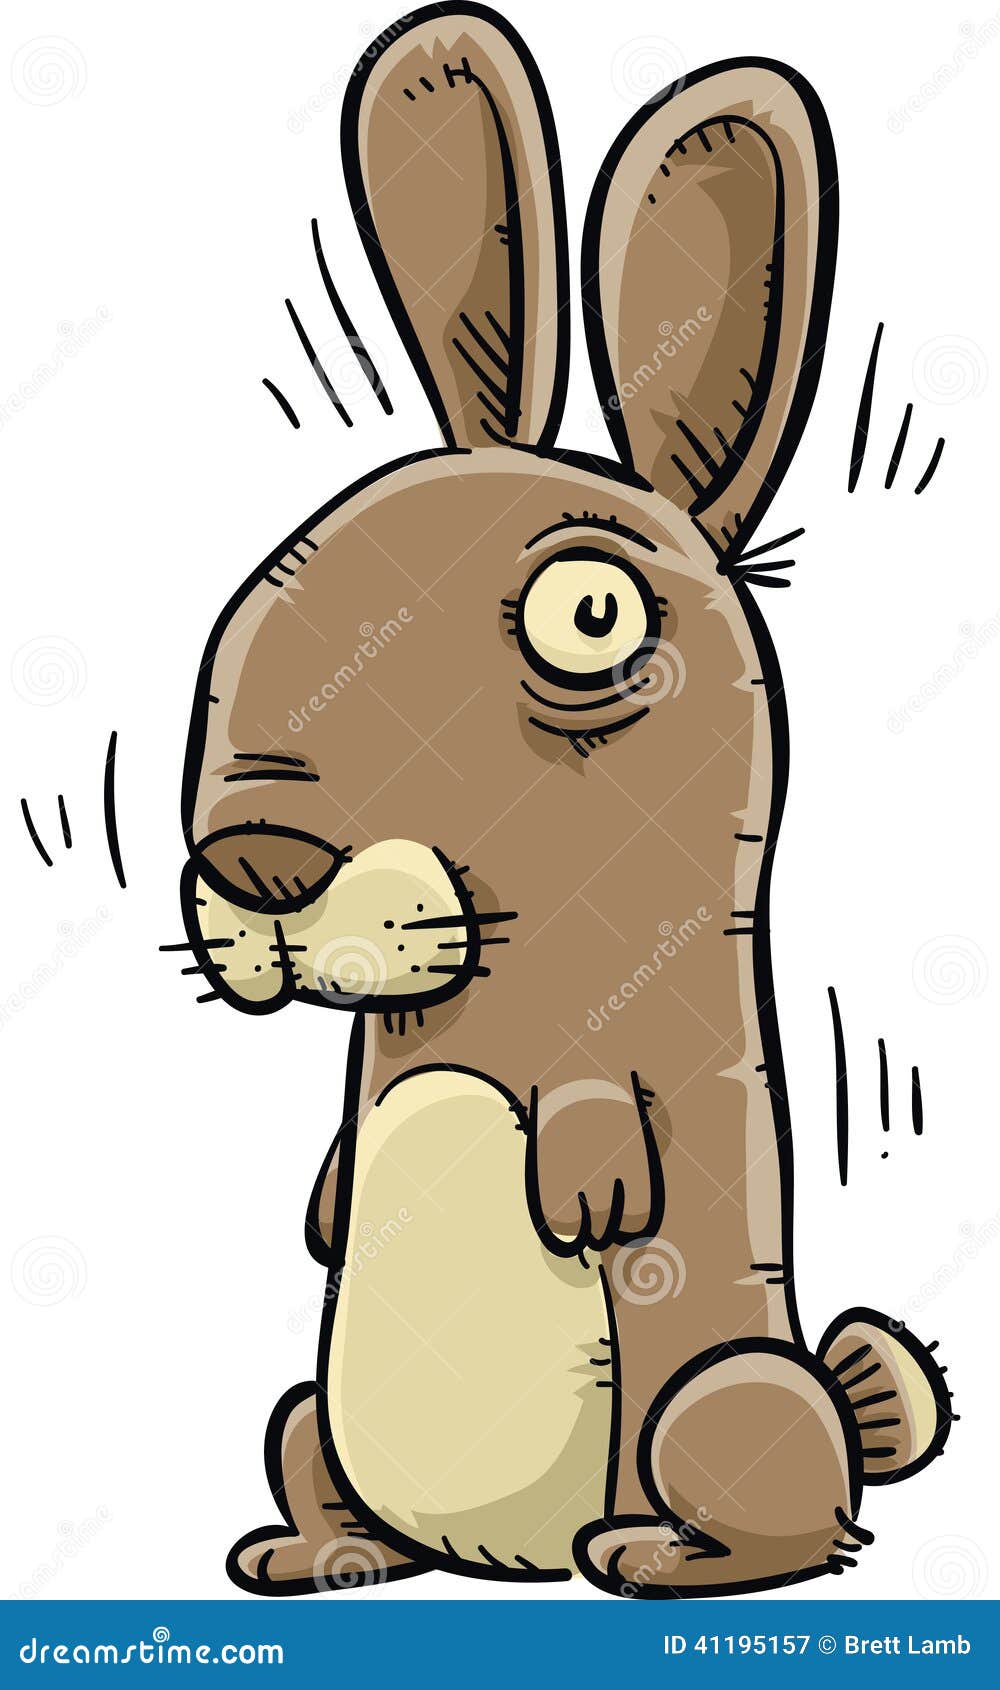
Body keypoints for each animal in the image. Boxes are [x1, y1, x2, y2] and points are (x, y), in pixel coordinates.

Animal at [177, 4, 953, 1597]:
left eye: (587, 614)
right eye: (291, 563)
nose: (258, 864)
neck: (485, 990)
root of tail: (500, 1559)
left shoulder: (631, 1046)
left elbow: (611, 1114)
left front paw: (583, 1175)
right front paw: (334, 1196)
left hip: (717, 1396)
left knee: (796, 1513)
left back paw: (656, 1550)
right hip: (313, 1409)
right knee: (314, 1454)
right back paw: (321, 1549)